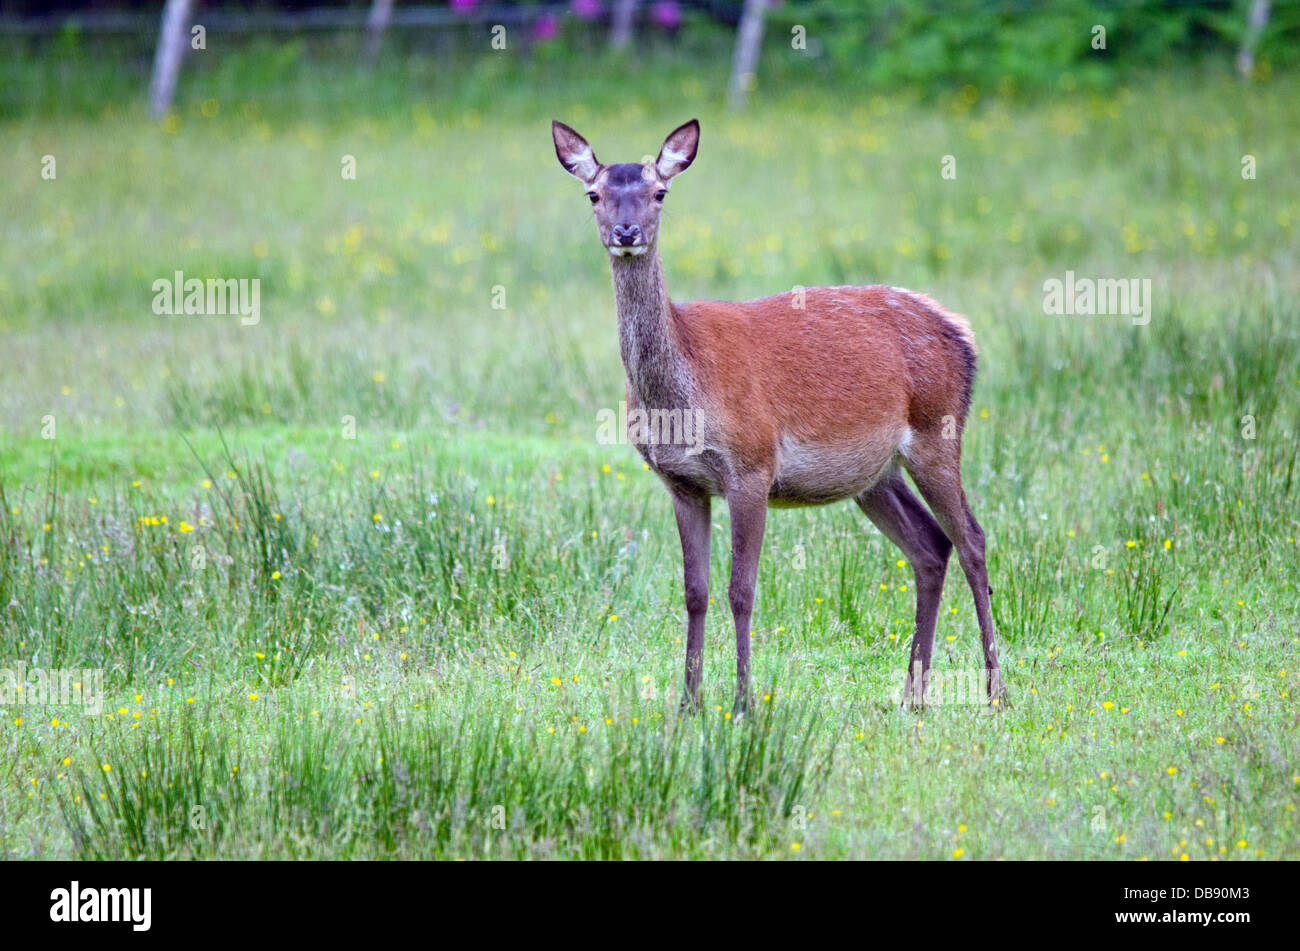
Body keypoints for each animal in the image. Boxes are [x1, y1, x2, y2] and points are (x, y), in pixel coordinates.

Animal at [552, 118, 1005, 713]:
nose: (627, 232)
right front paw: (689, 701)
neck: (683, 392)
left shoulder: (752, 465)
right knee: (931, 546)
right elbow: (694, 591)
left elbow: (741, 590)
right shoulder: (681, 482)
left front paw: (744, 700)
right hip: (874, 475)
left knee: (972, 540)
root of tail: (962, 332)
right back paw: (913, 693)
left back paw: (995, 689)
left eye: (660, 192)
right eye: (594, 193)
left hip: (938, 429)